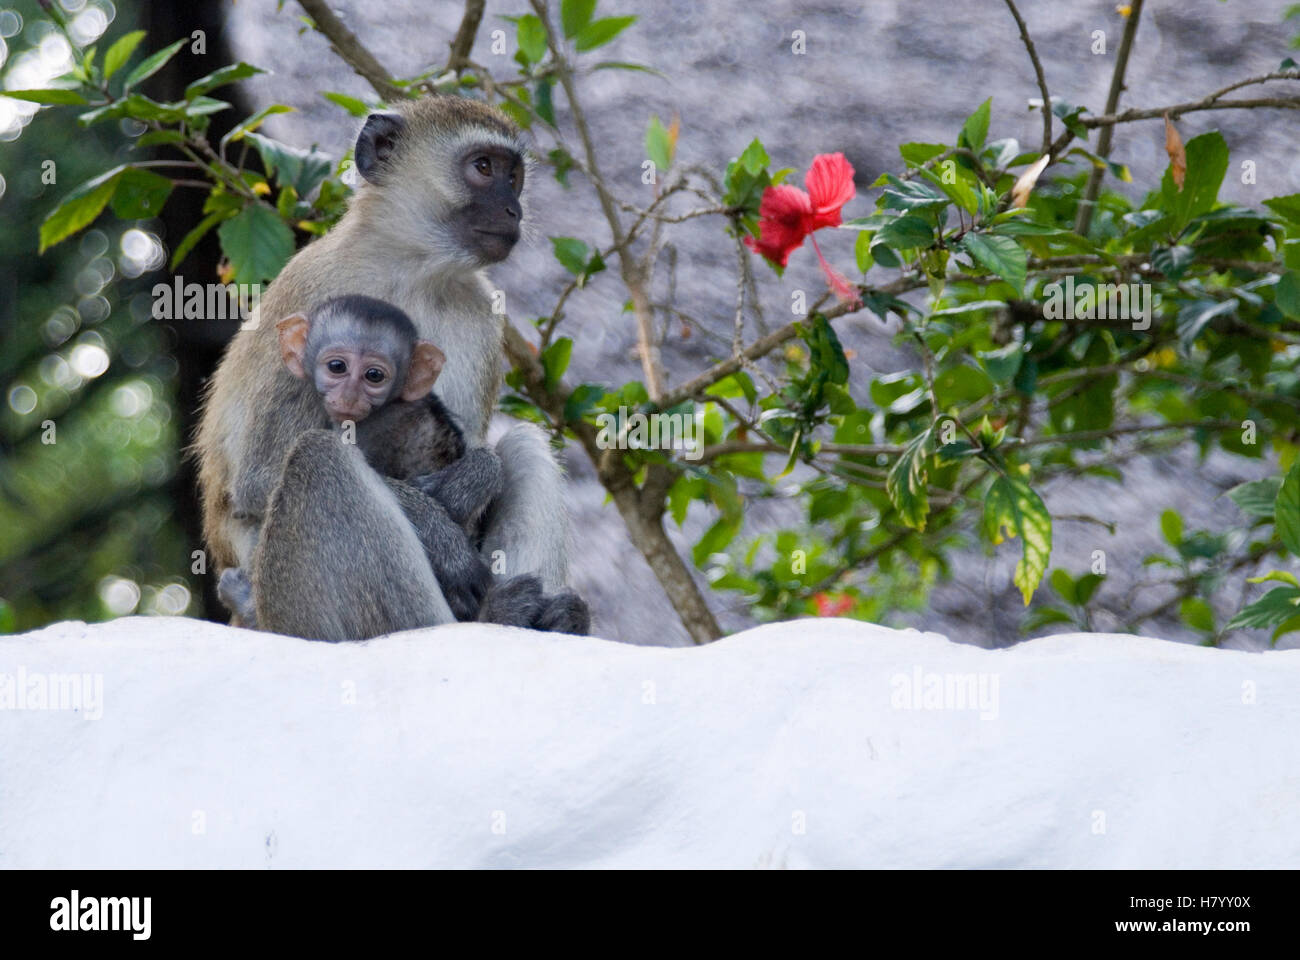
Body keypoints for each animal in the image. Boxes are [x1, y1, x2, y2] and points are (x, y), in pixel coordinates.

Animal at [195, 96, 584, 638]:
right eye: (484, 168)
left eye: (515, 176)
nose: (514, 210)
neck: (412, 271)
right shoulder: (310, 292)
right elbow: (257, 479)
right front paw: (438, 532)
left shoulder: (484, 316)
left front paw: (475, 476)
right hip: (294, 614)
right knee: (318, 459)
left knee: (526, 445)